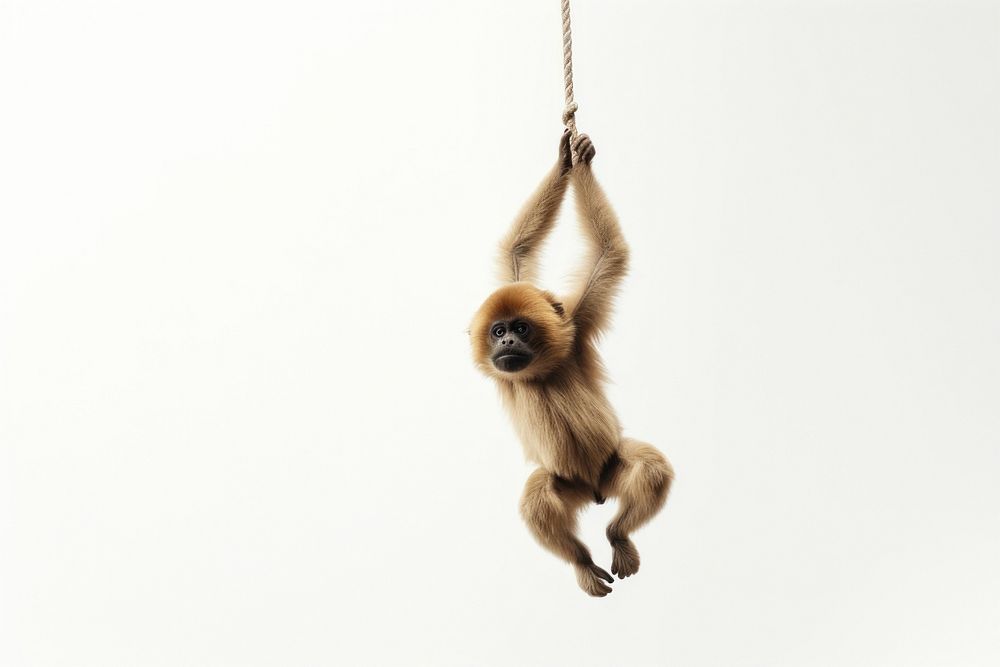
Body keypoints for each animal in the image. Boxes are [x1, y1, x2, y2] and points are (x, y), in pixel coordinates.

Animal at [470, 131, 674, 597]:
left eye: (520, 329)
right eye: (497, 331)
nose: (507, 340)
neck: (541, 371)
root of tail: (594, 491)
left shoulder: (574, 326)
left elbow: (607, 252)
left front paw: (571, 160)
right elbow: (517, 254)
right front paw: (565, 161)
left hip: (611, 466)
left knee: (651, 468)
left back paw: (618, 532)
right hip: (566, 484)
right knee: (538, 498)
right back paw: (582, 560)